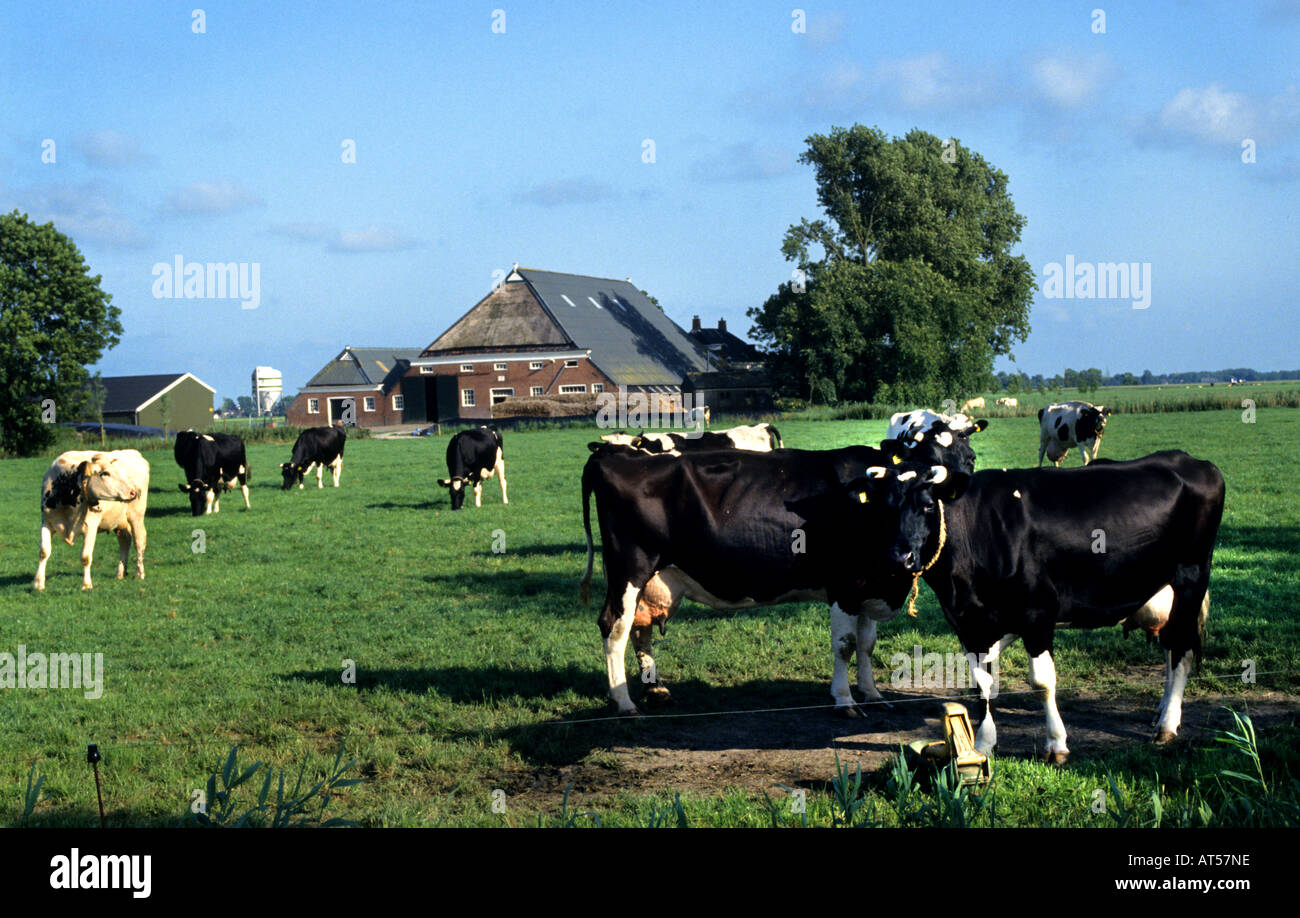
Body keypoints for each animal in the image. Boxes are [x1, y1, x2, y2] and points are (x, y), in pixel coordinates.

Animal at [35, 450, 149, 591]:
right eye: (105, 473)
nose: (133, 492)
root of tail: (134, 452)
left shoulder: (90, 526)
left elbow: (85, 557)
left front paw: (86, 585)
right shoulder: (47, 523)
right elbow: (43, 552)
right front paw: (38, 584)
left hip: (136, 516)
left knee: (139, 542)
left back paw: (139, 573)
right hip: (119, 519)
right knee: (125, 540)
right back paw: (120, 572)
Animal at [579, 445, 927, 716]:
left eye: (927, 505)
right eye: (887, 506)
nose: (904, 557)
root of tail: (613, 454)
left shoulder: (869, 590)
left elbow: (867, 644)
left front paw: (873, 694)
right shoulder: (844, 587)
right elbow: (846, 645)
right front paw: (845, 700)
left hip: (649, 579)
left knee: (640, 628)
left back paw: (656, 689)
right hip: (630, 569)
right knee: (614, 627)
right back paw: (624, 702)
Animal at [875, 450, 1225, 761]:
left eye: (927, 506)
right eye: (886, 509)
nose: (899, 558)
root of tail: (1189, 460)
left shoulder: (1038, 616)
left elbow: (1042, 683)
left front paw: (1056, 744)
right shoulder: (969, 624)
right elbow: (982, 685)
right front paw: (983, 744)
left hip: (1191, 579)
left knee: (1181, 649)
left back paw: (1167, 724)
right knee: (1169, 648)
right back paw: (1162, 710)